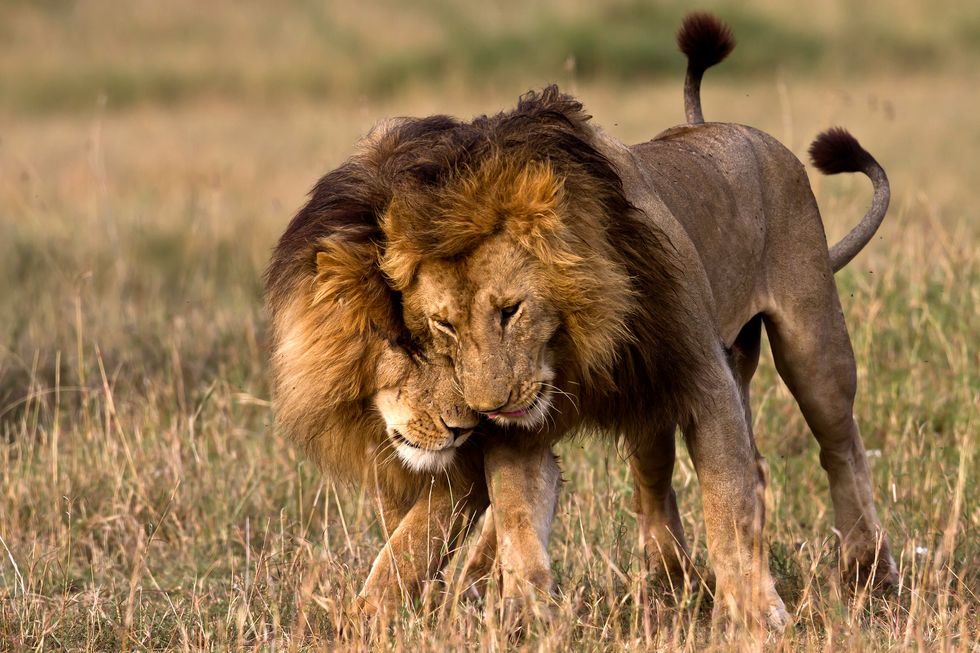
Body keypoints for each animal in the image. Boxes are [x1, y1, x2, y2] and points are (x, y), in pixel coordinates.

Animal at [378, 13, 898, 628]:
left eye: (511, 310)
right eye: (444, 326)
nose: (485, 408)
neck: (575, 340)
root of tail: (720, 124)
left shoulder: (705, 380)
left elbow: (728, 501)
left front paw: (754, 614)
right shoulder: (526, 427)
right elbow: (518, 514)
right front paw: (523, 612)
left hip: (812, 341)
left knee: (840, 448)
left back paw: (869, 572)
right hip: (657, 403)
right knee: (662, 486)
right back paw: (671, 584)